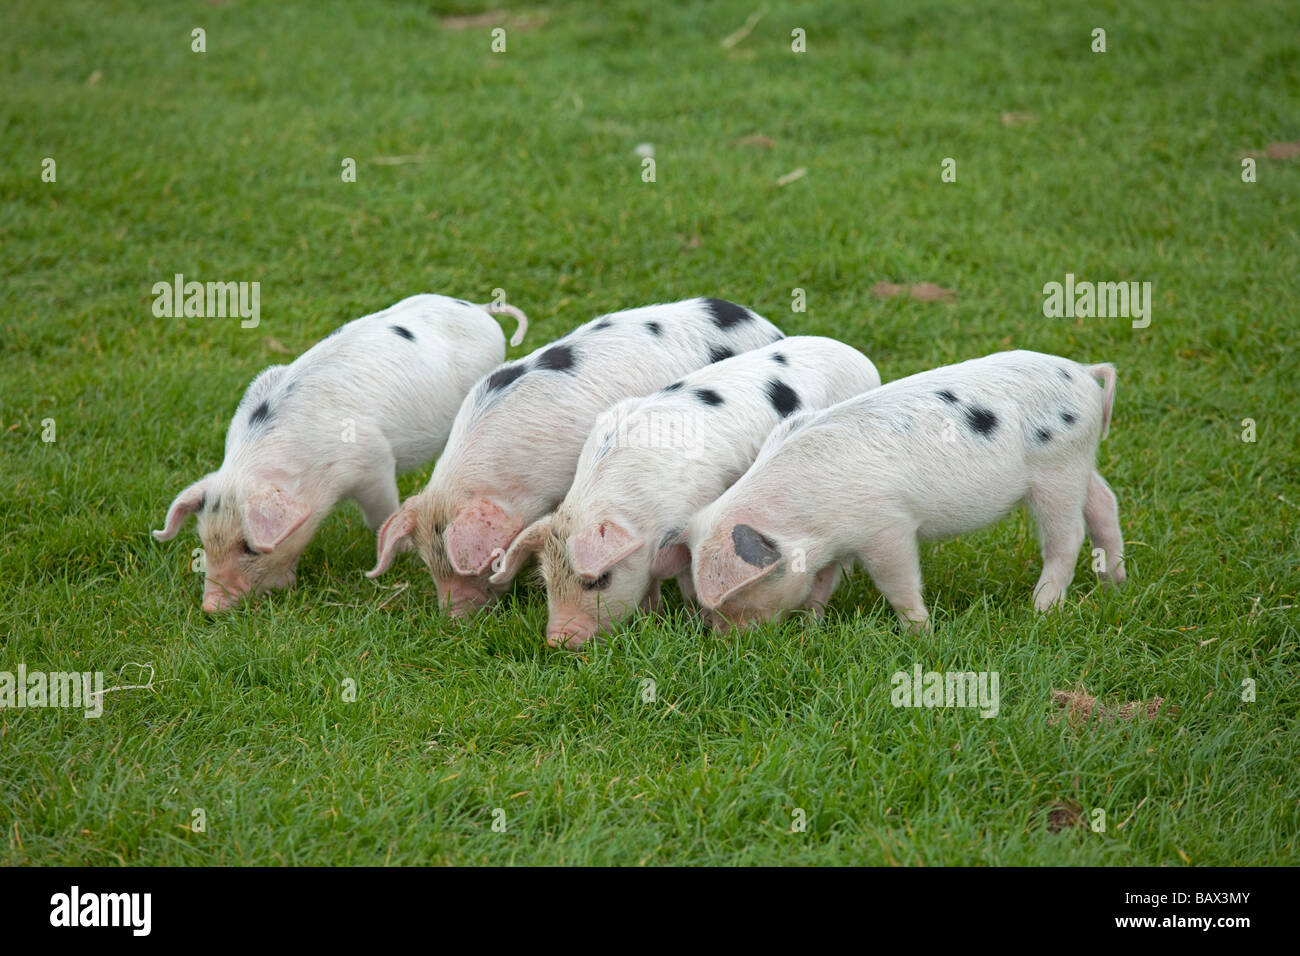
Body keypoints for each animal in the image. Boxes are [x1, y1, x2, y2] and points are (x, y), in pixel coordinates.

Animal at [152, 293, 528, 612]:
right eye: (205, 540)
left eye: (249, 547)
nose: (211, 607)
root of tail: (478, 309)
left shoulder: (374, 461)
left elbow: (381, 514)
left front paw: (402, 553)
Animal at [488, 337, 882, 648]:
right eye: (546, 580)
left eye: (599, 581)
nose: (558, 639)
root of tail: (859, 358)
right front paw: (653, 618)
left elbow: (689, 578)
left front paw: (695, 621)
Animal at [687, 350, 1126, 632]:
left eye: (734, 596)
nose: (719, 636)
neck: (806, 519)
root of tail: (1085, 372)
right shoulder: (836, 539)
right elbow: (823, 581)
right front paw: (812, 625)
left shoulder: (887, 527)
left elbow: (897, 583)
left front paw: (921, 635)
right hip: (1080, 462)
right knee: (1105, 503)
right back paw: (1115, 585)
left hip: (1057, 470)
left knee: (1067, 537)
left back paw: (1041, 611)